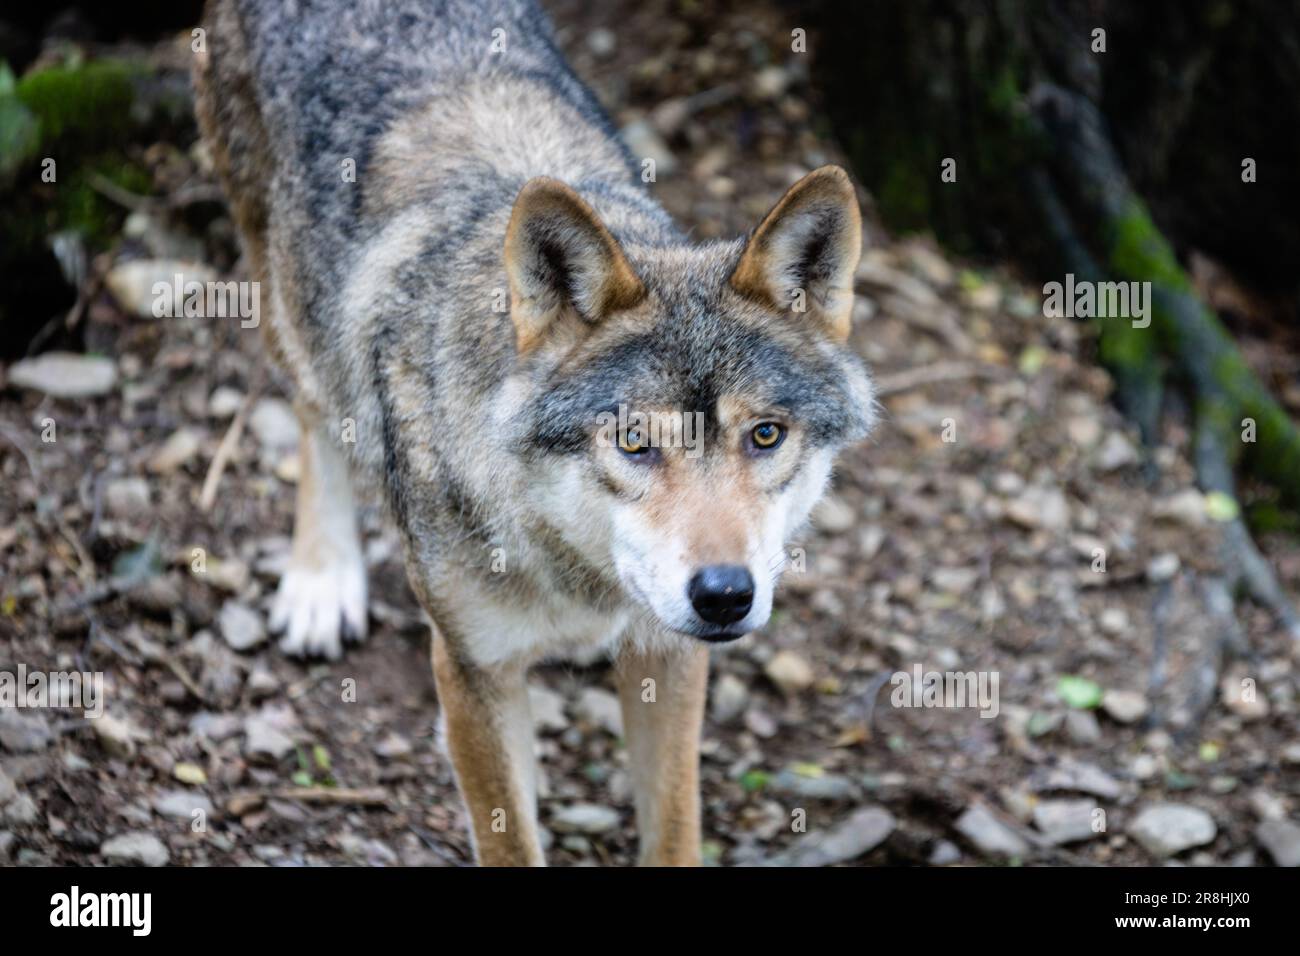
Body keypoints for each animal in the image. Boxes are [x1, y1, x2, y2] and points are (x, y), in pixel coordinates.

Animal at [194, 0, 875, 865]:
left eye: (763, 435)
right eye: (632, 442)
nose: (725, 595)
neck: (575, 571)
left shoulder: (670, 656)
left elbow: (673, 827)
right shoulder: (471, 671)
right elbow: (510, 838)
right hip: (287, 289)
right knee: (316, 409)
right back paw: (322, 580)